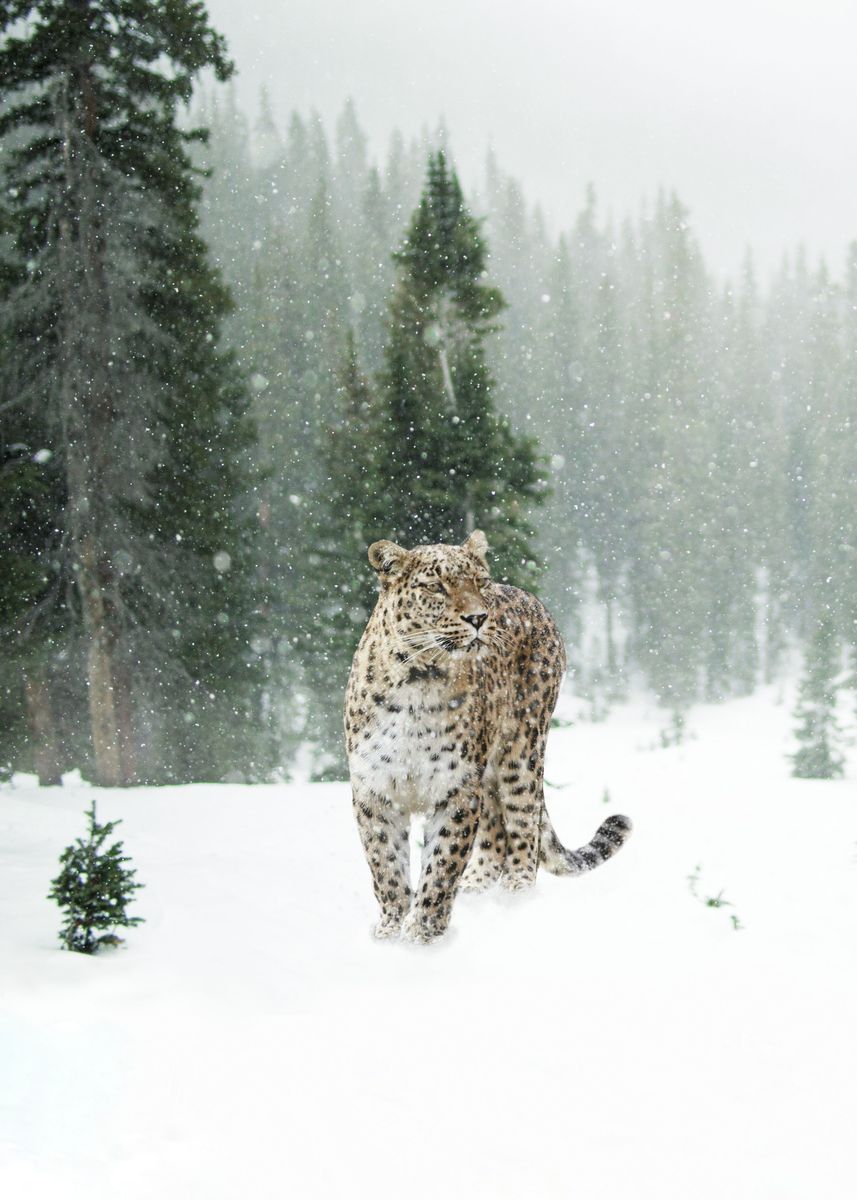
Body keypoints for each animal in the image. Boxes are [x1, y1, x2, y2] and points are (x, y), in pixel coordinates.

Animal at [344, 530, 633, 944]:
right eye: (436, 586)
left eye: (479, 582)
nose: (479, 617)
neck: (418, 681)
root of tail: (532, 599)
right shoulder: (375, 790)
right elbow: (386, 866)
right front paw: (390, 932)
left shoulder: (457, 789)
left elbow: (442, 865)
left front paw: (422, 935)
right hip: (492, 773)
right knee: (496, 831)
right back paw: (477, 889)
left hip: (521, 751)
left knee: (523, 825)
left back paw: (515, 896)